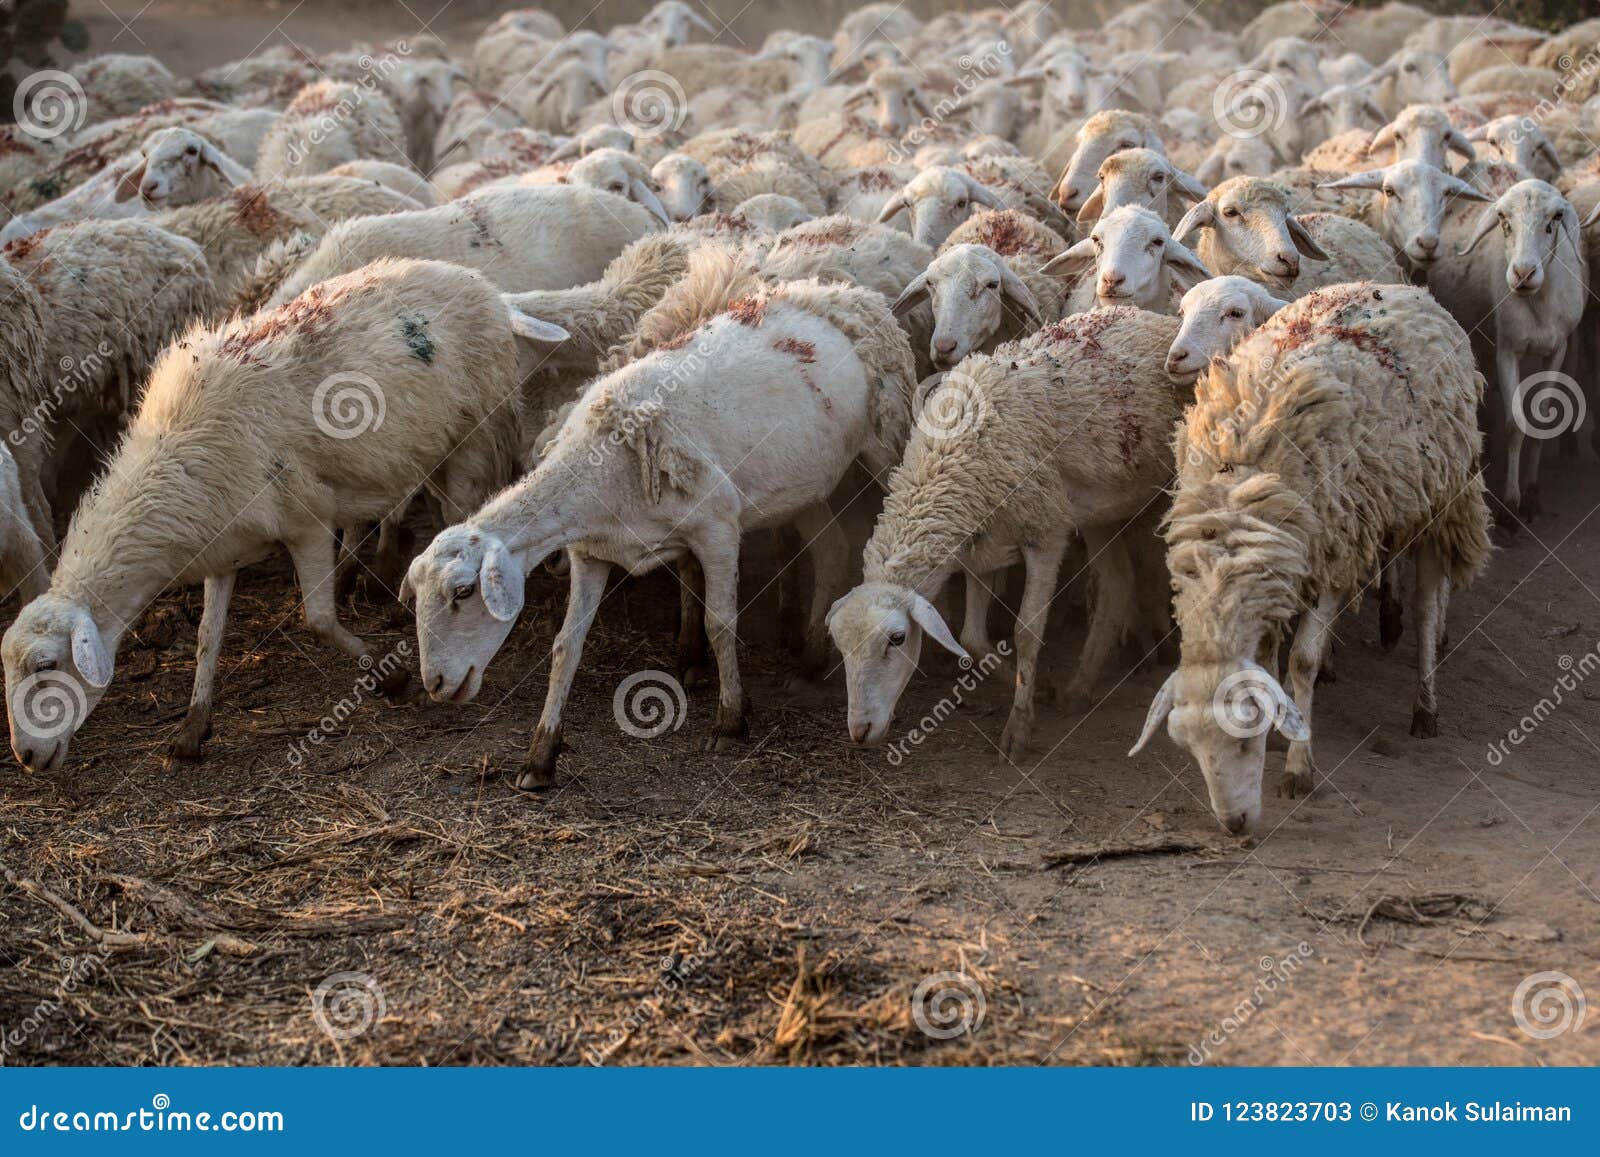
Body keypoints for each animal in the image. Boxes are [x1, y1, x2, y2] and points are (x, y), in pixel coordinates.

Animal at [1, 258, 569, 772]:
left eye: (47, 665)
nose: (26, 757)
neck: (173, 461)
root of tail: (487, 289)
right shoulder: (222, 548)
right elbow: (207, 638)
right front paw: (192, 728)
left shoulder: (307, 523)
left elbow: (317, 619)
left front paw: (390, 678)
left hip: (475, 434)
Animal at [402, 272, 917, 787]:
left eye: (463, 592)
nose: (436, 685)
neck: (599, 464)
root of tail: (838, 290)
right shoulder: (591, 553)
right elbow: (567, 646)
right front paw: (540, 756)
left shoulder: (716, 529)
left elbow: (719, 624)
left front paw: (731, 721)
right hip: (799, 483)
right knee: (833, 550)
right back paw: (810, 664)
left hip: (884, 442)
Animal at [828, 306, 1183, 758]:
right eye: (840, 648)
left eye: (897, 638)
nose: (860, 730)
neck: (950, 460)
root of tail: (1152, 315)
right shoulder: (982, 549)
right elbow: (972, 638)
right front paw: (1039, 687)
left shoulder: (1045, 533)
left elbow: (1026, 631)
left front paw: (1019, 726)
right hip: (1099, 511)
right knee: (1118, 584)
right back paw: (1079, 687)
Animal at [1130, 283, 1491, 833]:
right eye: (1188, 750)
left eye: (1243, 740)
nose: (1234, 825)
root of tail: (1409, 289)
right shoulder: (1277, 566)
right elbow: (1265, 658)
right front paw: (1286, 731)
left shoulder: (1334, 555)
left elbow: (1302, 661)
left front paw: (1299, 770)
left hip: (1442, 497)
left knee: (1429, 606)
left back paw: (1425, 708)